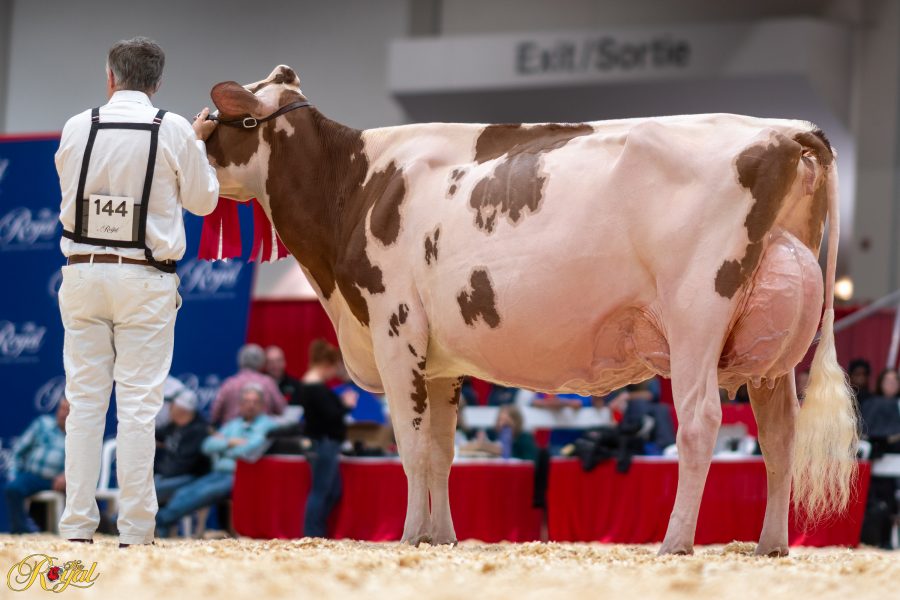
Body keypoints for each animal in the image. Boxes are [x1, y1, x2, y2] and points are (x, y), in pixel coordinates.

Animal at [204, 65, 858, 556]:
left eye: (216, 119)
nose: (191, 133)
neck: (354, 185)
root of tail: (783, 129)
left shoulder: (396, 328)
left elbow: (410, 447)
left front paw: (410, 536)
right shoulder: (441, 361)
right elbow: (442, 451)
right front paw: (441, 537)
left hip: (697, 310)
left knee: (700, 423)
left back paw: (675, 543)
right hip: (771, 342)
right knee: (779, 433)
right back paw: (771, 545)